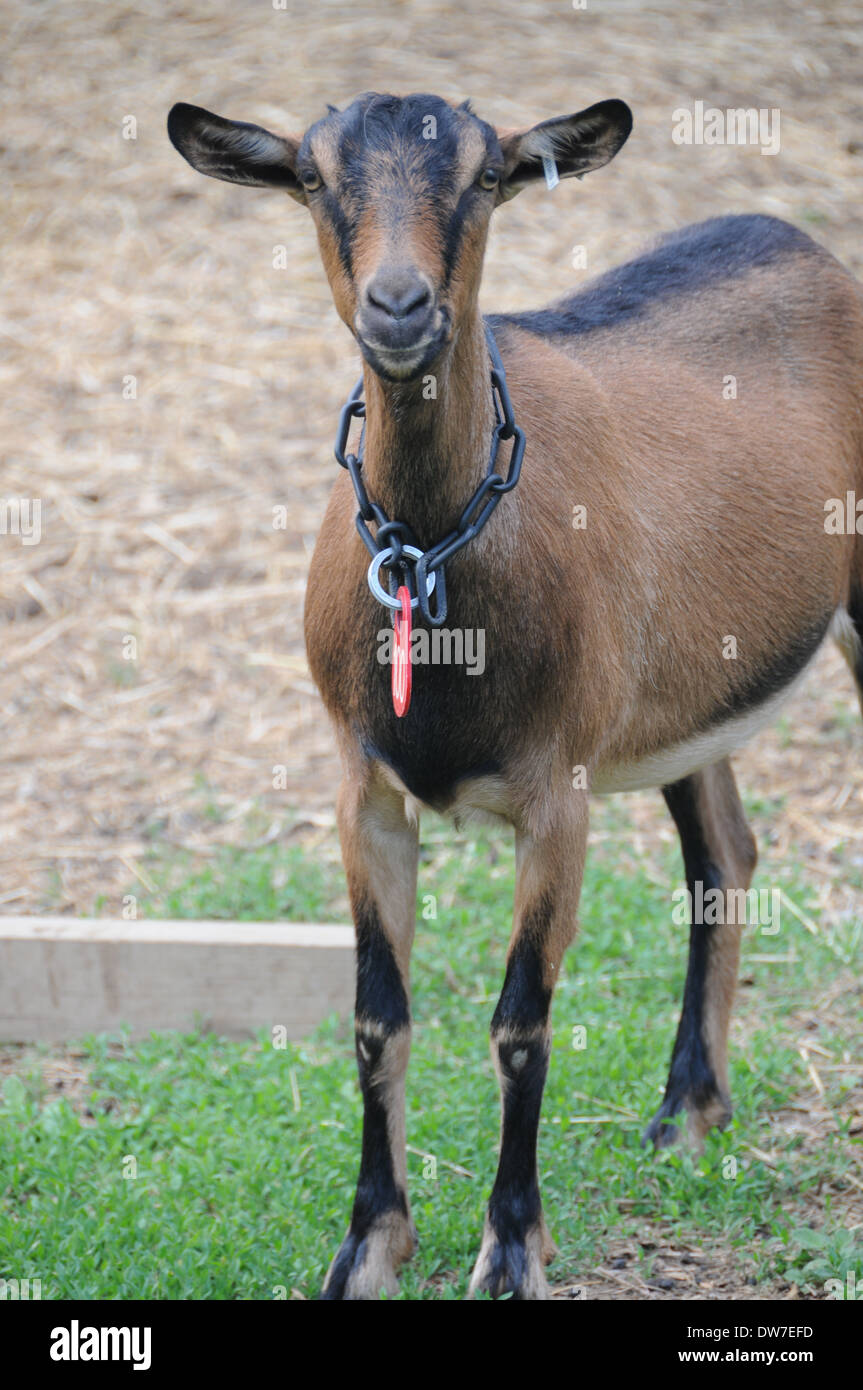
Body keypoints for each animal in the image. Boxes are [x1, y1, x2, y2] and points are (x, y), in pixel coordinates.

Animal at [167, 91, 863, 1300]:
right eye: (313, 179)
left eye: (486, 177)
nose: (401, 307)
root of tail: (805, 244)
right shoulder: (364, 790)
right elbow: (376, 1015)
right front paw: (370, 1244)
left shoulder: (558, 793)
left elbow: (520, 1024)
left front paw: (509, 1247)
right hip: (684, 698)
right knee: (723, 853)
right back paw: (688, 1113)